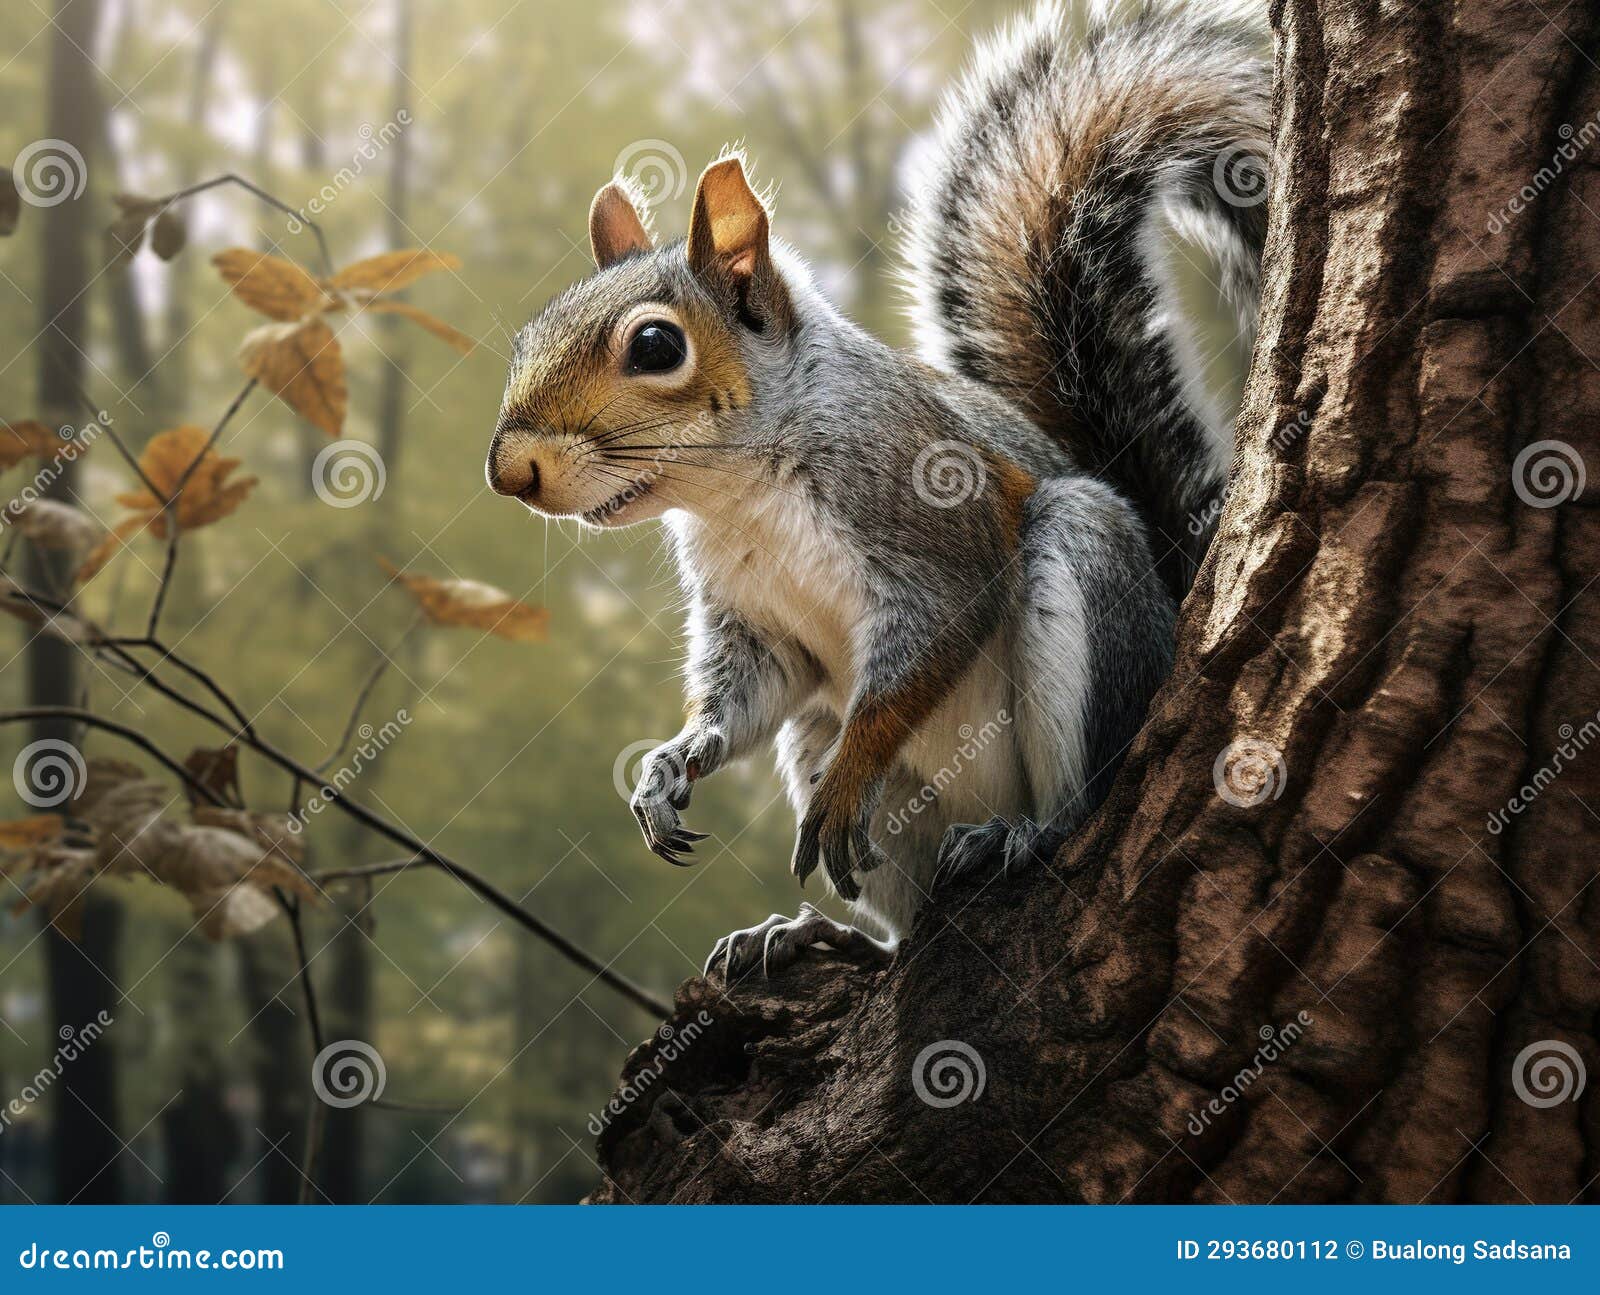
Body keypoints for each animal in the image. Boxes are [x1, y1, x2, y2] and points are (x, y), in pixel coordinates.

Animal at [486, 0, 1269, 979]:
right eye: (528, 336)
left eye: (657, 346)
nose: (509, 471)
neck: (743, 490)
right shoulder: (756, 624)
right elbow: (749, 693)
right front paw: (672, 762)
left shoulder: (935, 524)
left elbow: (926, 647)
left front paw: (850, 771)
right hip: (845, 768)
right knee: (910, 914)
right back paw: (819, 934)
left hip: (1086, 571)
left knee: (1084, 792)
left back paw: (1023, 833)